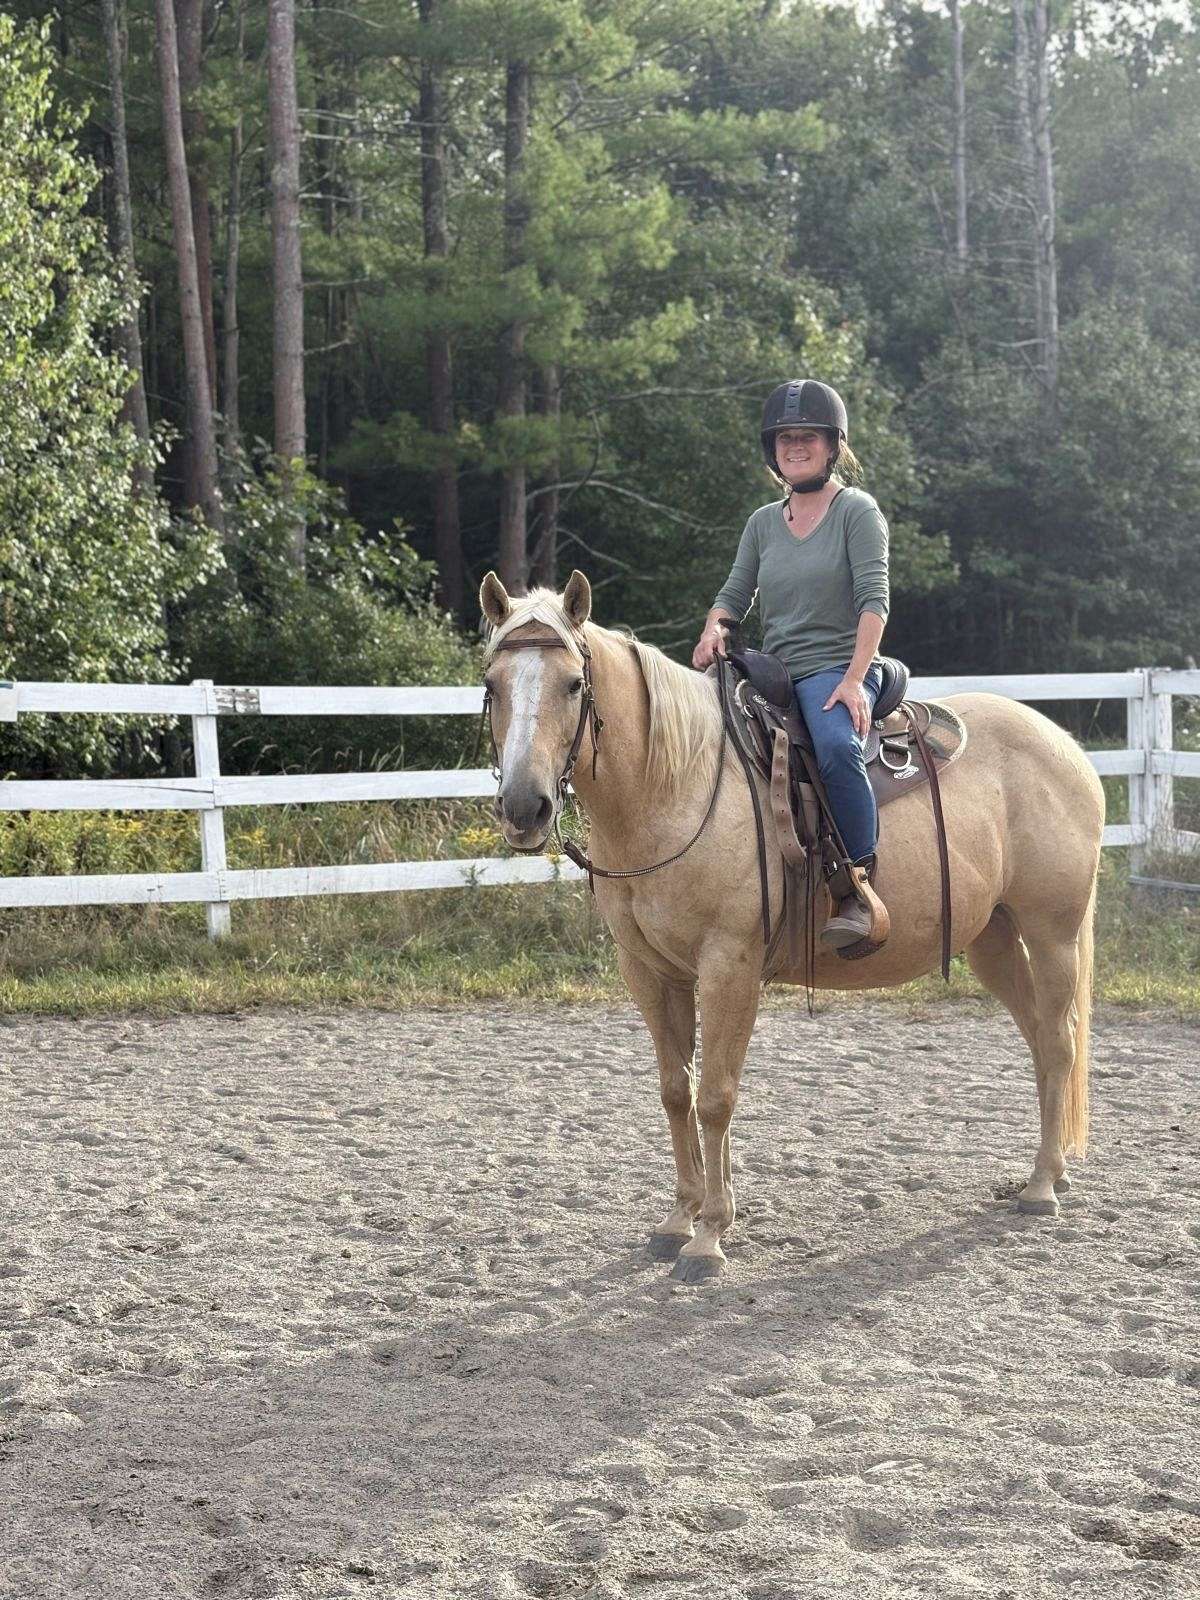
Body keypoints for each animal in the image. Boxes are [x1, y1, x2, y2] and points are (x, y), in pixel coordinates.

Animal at [480, 570, 1105, 1284]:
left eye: (573, 683)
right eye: (493, 683)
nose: (524, 807)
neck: (674, 788)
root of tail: (1067, 747)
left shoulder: (729, 963)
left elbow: (716, 1096)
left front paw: (709, 1236)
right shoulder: (649, 970)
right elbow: (675, 1091)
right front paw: (680, 1219)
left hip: (1052, 932)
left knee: (1059, 1042)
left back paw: (1042, 1186)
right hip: (993, 939)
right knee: (1041, 1044)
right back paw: (1050, 1174)